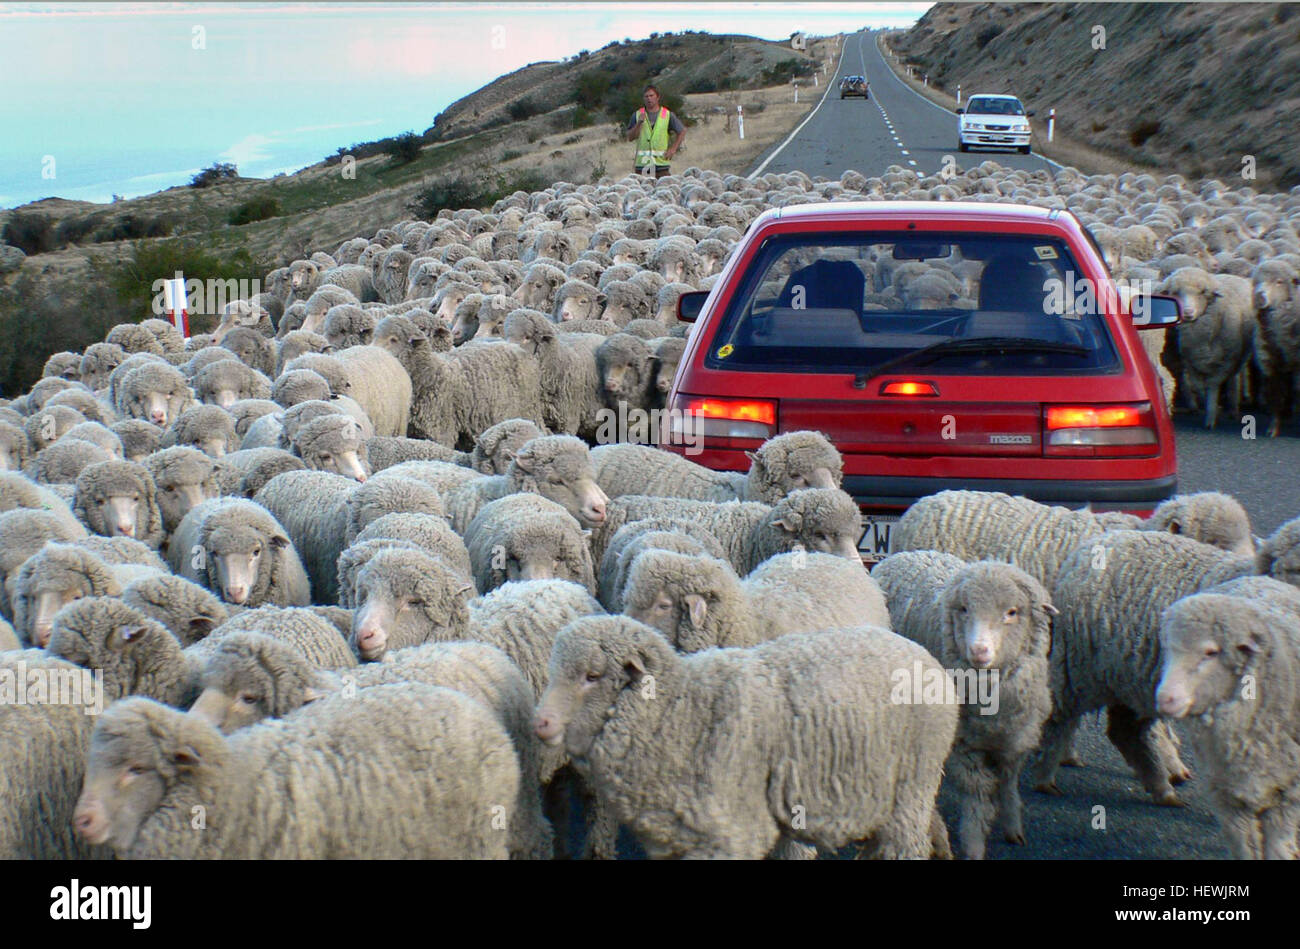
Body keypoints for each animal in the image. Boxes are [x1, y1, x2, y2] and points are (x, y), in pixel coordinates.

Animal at [534, 616, 957, 859]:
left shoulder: (733, 834)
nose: (540, 722)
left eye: (592, 676)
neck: (681, 713)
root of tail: (925, 656)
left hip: (912, 787)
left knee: (906, 845)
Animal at [873, 552, 1055, 859]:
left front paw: (1013, 824)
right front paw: (973, 843)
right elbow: (977, 796)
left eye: (1012, 612)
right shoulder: (964, 744)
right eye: (964, 609)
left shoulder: (1016, 737)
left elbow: (1009, 781)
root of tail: (904, 554)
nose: (979, 650)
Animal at [1154, 587, 1300, 859]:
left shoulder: (1287, 797)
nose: (1164, 698)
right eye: (1167, 648)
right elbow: (1245, 849)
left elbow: (1277, 849)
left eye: (1211, 652)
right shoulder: (1226, 798)